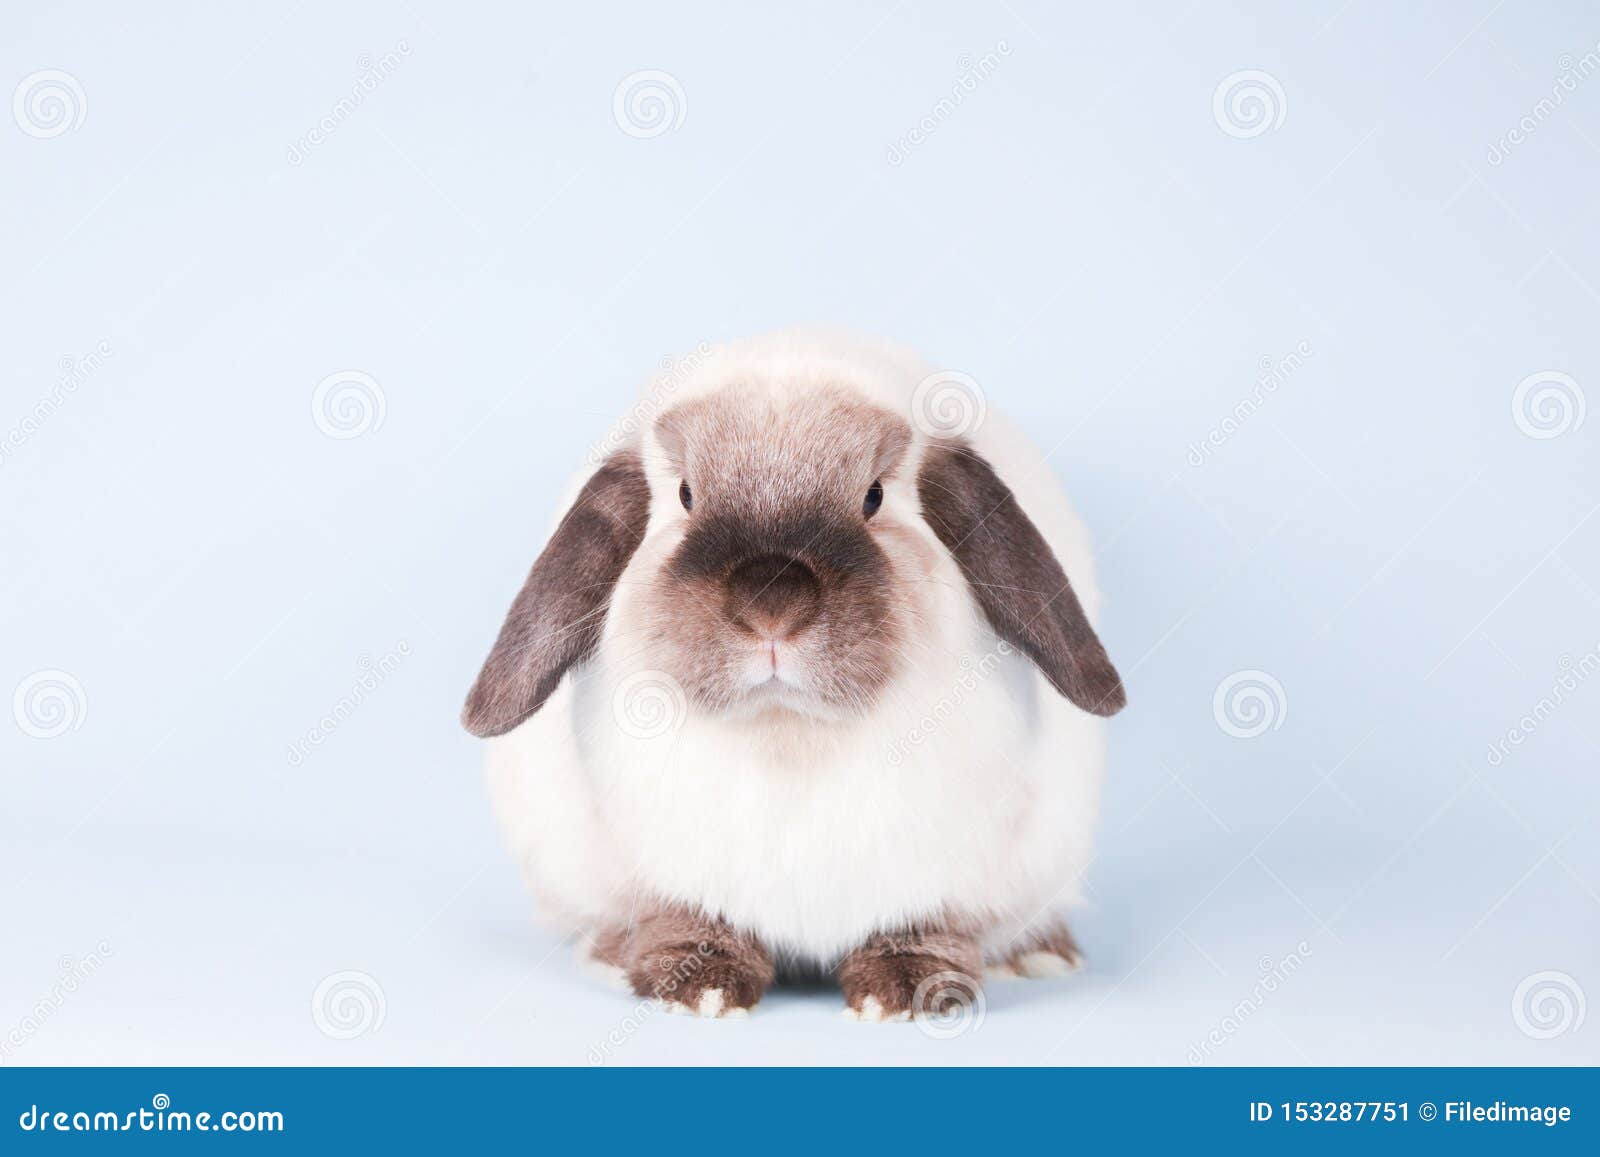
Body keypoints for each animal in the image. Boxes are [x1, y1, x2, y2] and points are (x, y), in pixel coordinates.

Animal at [462, 330, 1125, 1021]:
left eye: (874, 496)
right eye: (686, 495)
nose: (771, 603)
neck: (788, 735)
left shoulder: (936, 873)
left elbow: (923, 926)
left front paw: (909, 990)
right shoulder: (676, 876)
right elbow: (687, 921)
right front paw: (698, 987)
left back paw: (1039, 954)